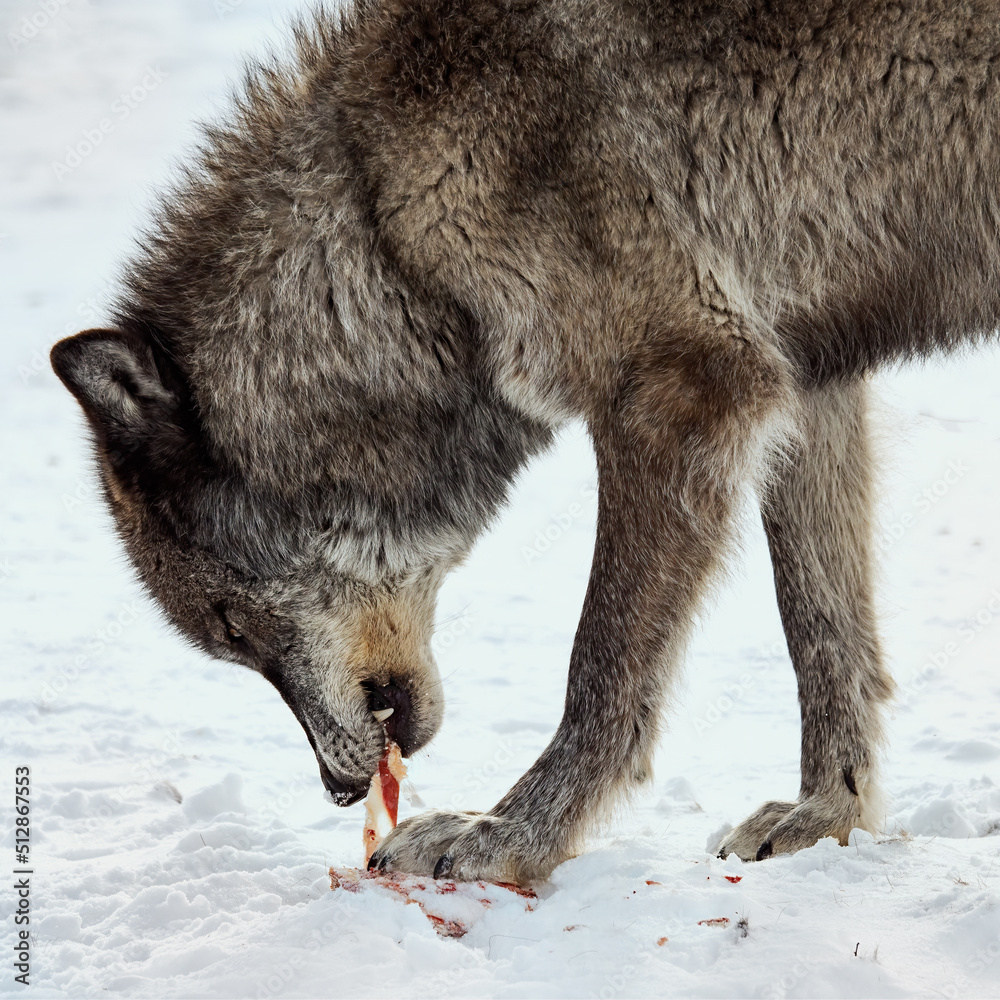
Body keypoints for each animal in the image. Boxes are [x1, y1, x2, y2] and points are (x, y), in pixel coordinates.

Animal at [50, 0, 1000, 882]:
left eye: (230, 628)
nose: (339, 790)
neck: (382, 225)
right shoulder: (805, 375)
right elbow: (821, 628)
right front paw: (829, 813)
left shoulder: (681, 394)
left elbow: (602, 668)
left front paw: (510, 837)